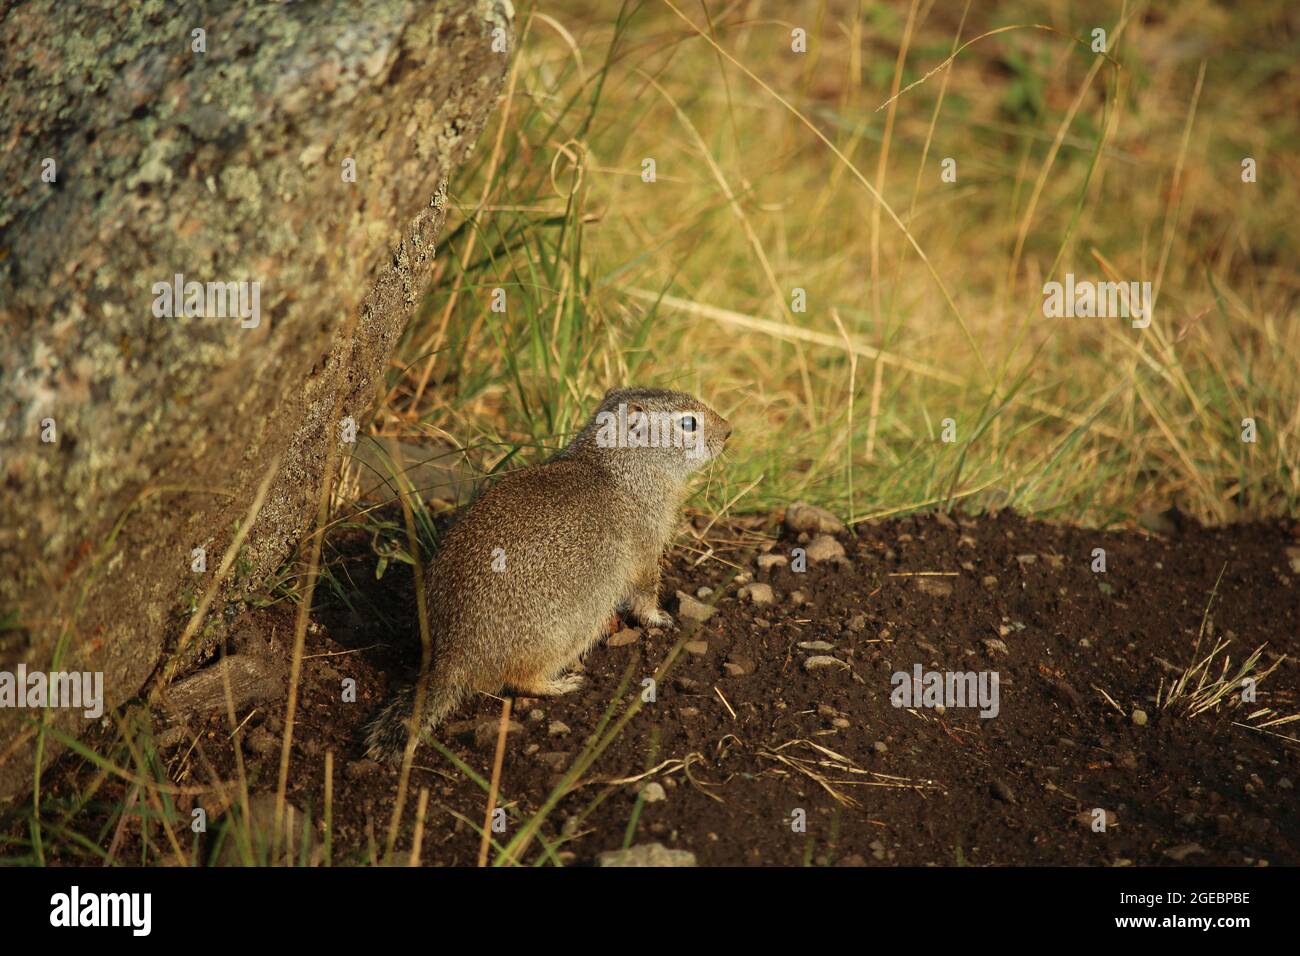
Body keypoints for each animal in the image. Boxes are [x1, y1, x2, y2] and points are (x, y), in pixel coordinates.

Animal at [365, 387, 731, 764]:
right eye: (688, 423)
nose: (729, 431)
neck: (618, 467)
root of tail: (451, 660)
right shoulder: (646, 551)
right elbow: (645, 595)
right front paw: (661, 618)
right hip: (570, 630)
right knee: (520, 680)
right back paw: (561, 684)